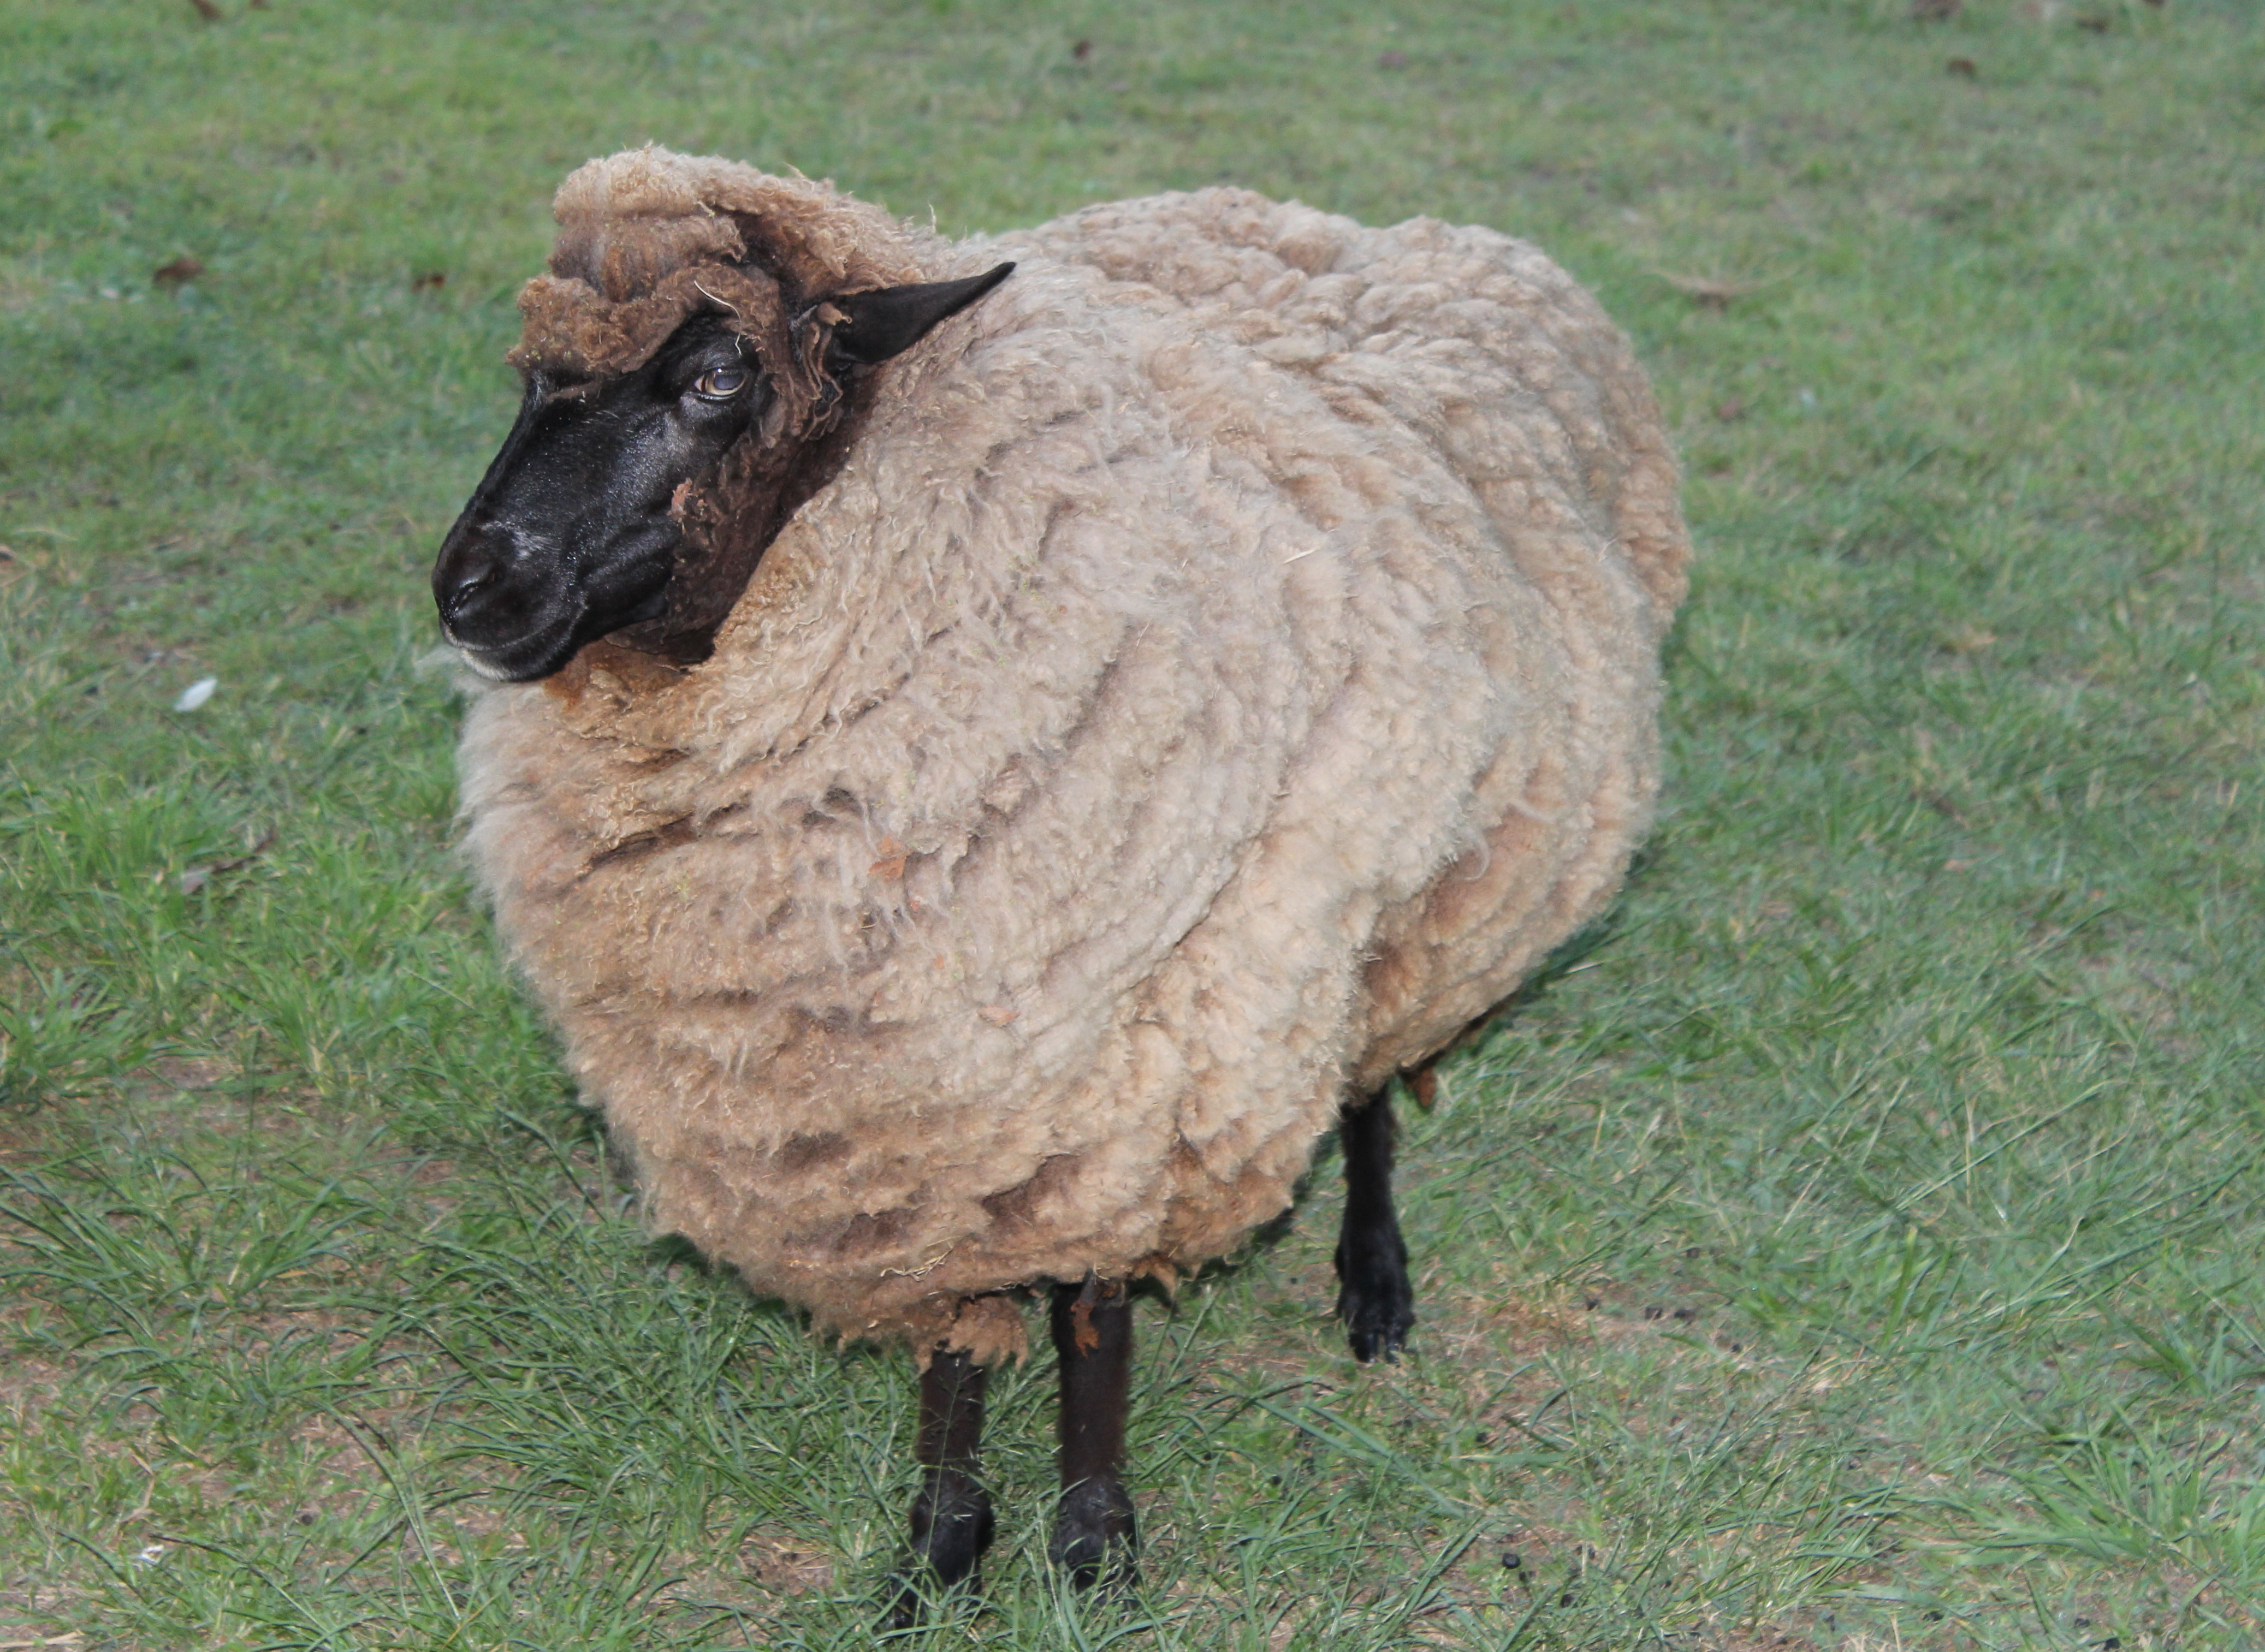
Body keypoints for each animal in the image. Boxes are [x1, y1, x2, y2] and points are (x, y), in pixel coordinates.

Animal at [432, 145, 1689, 1617]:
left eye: (716, 376)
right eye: (532, 374)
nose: (468, 590)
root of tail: (1393, 230)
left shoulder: (1131, 1076)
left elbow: (1093, 1318)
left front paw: (1093, 1549)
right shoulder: (927, 1124)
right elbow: (958, 1342)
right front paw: (938, 1553)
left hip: (1406, 902)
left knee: (1373, 1084)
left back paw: (1374, 1280)